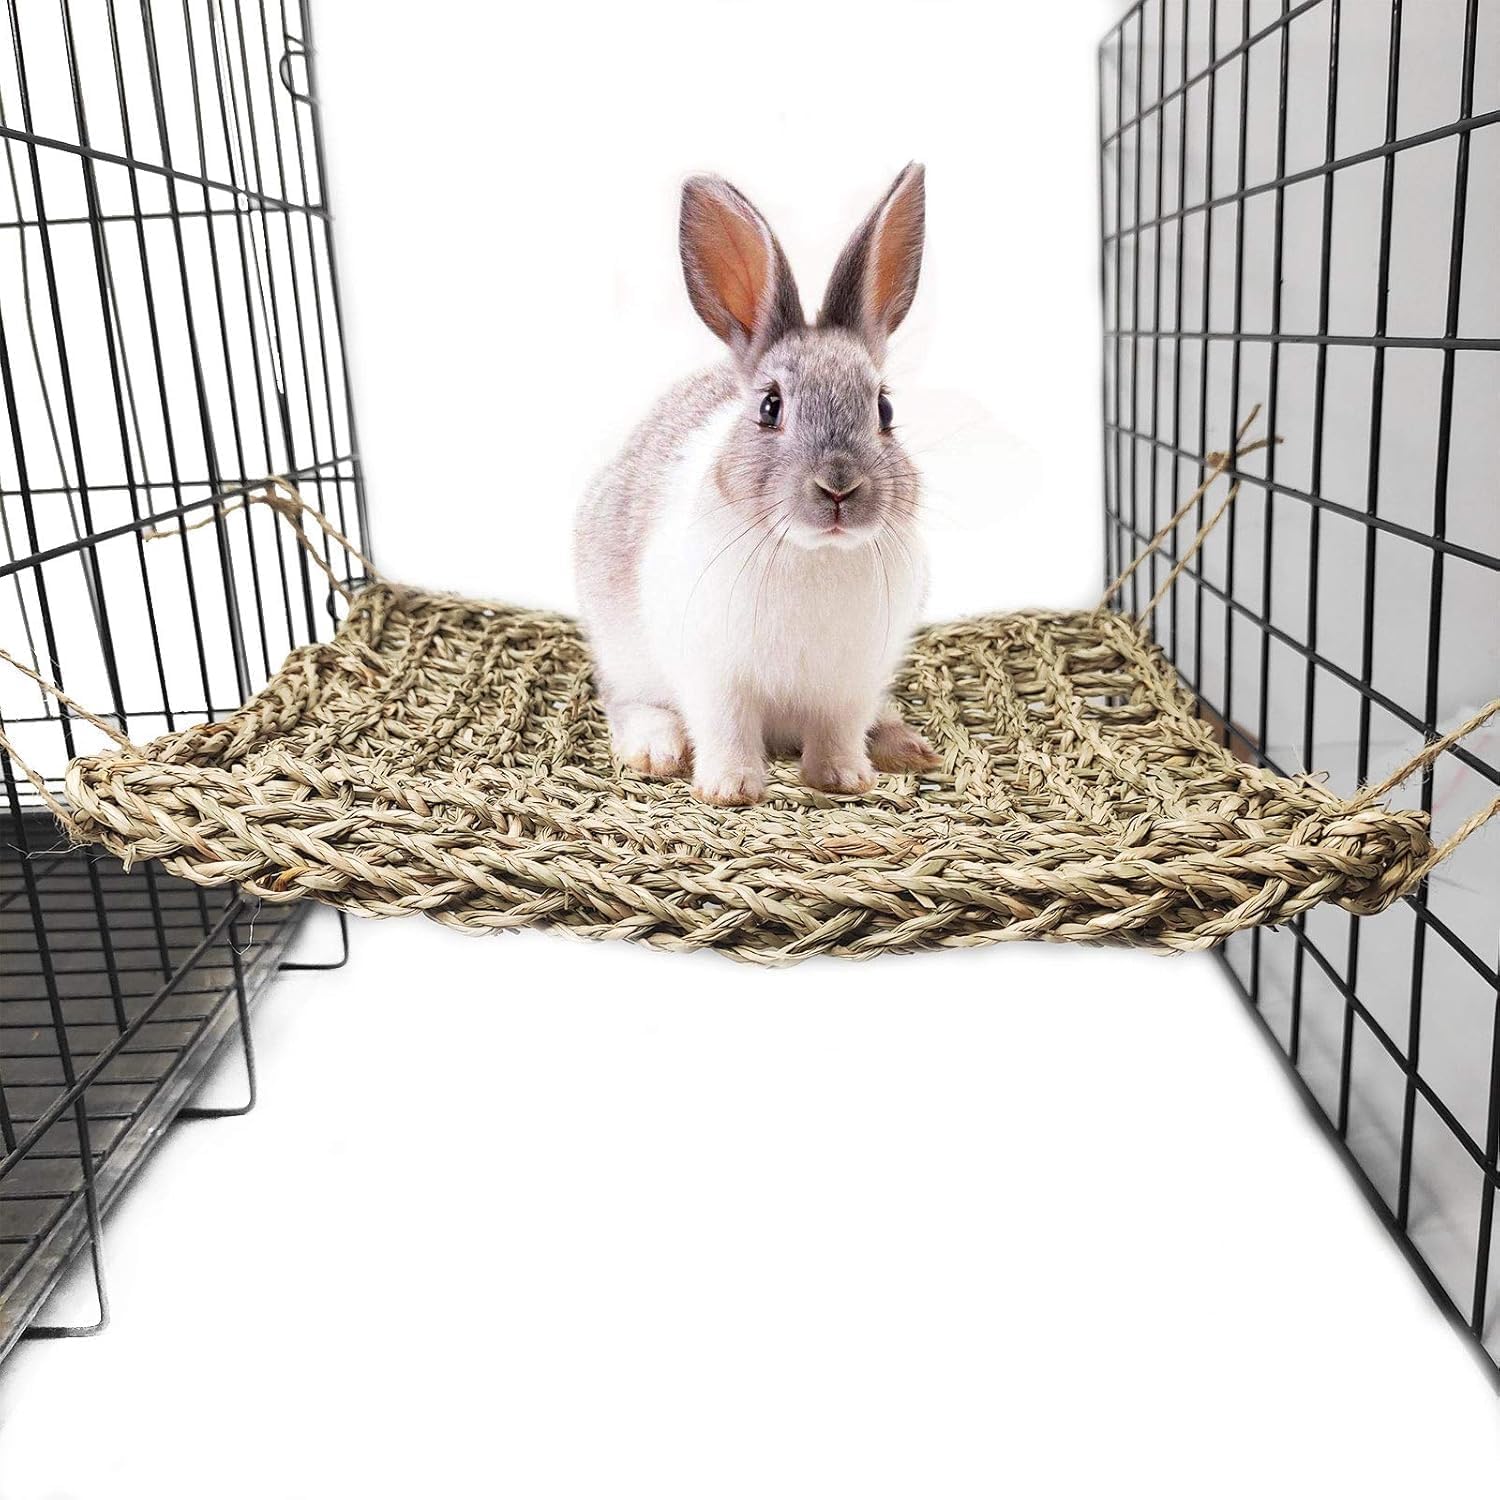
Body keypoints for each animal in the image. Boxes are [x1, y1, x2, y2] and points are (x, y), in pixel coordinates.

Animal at [574, 164, 939, 806]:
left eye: (885, 408)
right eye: (770, 407)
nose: (838, 487)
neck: (814, 553)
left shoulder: (851, 684)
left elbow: (839, 731)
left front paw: (845, 778)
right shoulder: (714, 675)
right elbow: (727, 728)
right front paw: (731, 788)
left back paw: (906, 747)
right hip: (625, 652)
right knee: (627, 701)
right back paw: (655, 749)